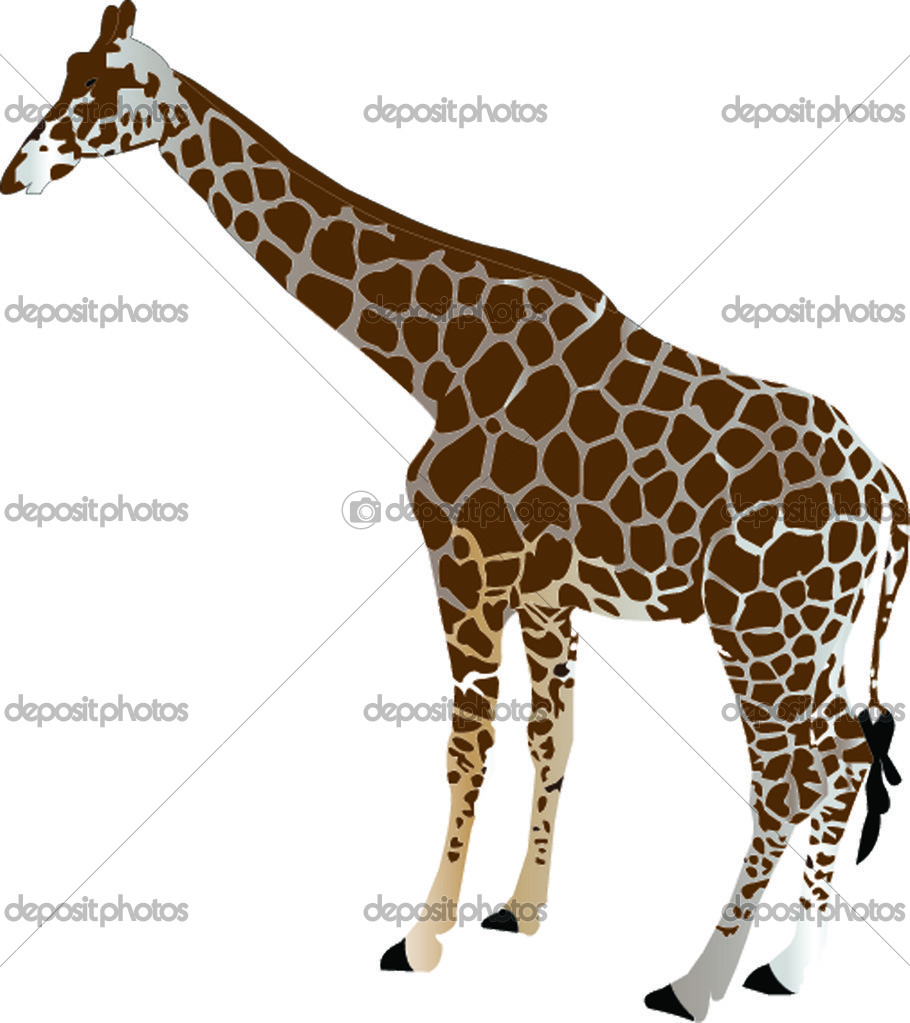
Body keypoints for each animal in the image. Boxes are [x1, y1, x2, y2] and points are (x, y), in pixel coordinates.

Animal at [2, 4, 906, 1018]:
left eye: (104, 88)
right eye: (65, 70)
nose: (17, 173)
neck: (430, 353)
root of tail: (885, 487)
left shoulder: (464, 557)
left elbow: (464, 743)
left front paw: (420, 938)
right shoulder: (548, 589)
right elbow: (553, 733)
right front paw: (521, 911)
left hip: (760, 624)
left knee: (795, 770)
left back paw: (695, 978)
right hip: (817, 627)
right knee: (844, 752)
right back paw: (787, 968)